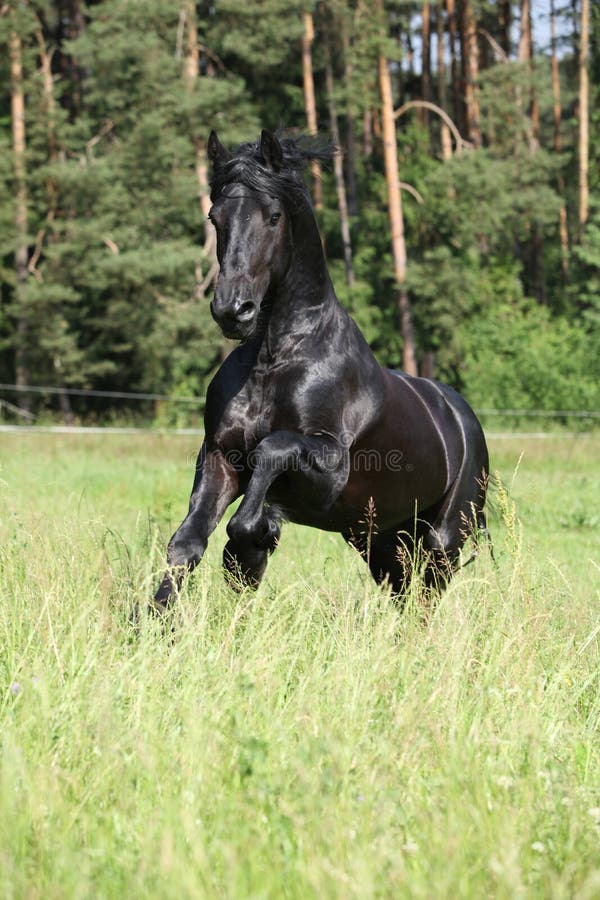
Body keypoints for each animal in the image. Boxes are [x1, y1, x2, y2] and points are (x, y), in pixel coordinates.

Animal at [152, 129, 489, 611]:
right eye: (215, 217)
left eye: (274, 216)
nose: (233, 311)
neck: (275, 359)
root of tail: (461, 414)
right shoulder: (219, 457)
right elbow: (187, 543)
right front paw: (150, 621)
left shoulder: (331, 470)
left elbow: (267, 462)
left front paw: (257, 536)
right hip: (380, 538)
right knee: (403, 591)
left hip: (443, 536)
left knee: (426, 595)